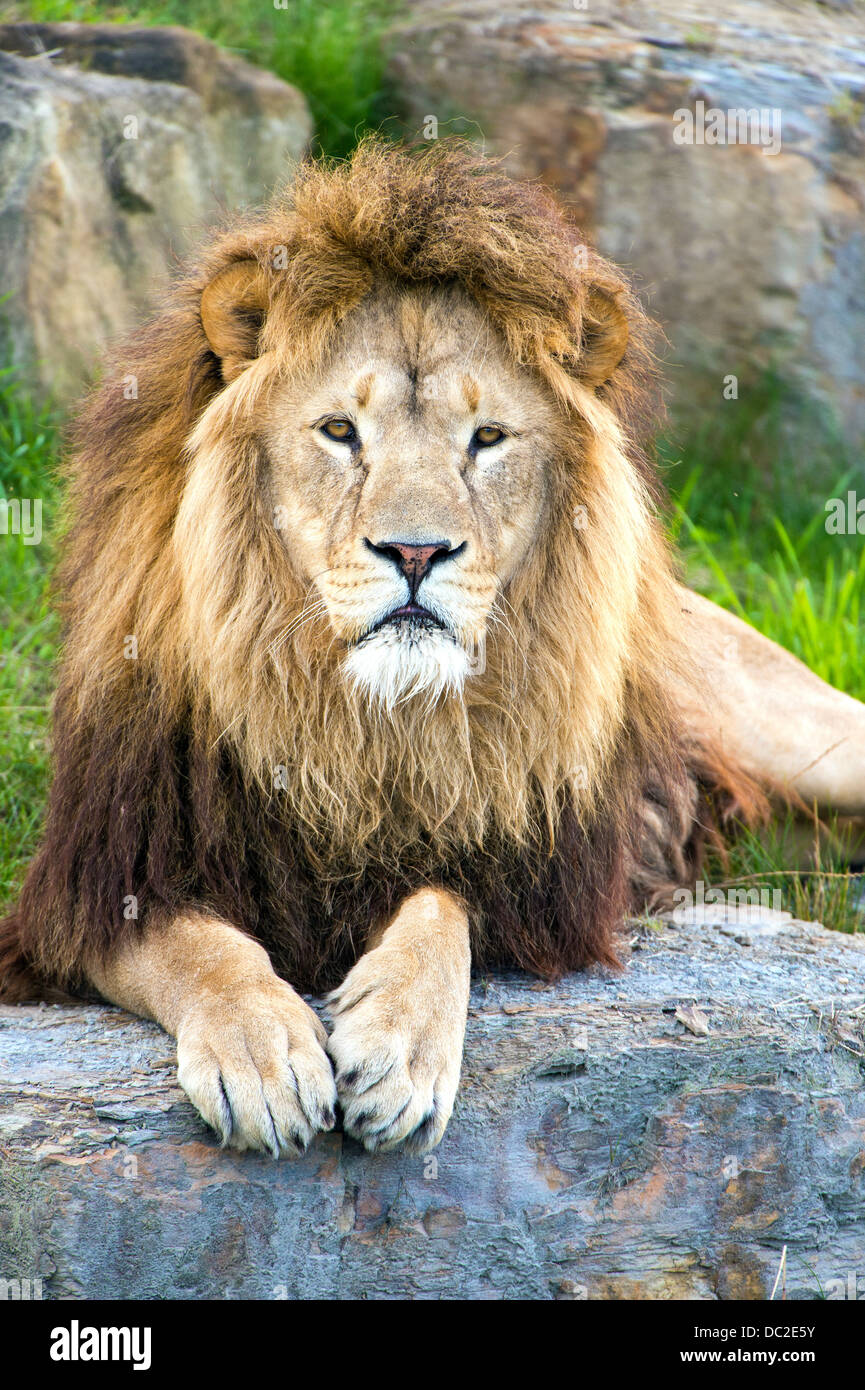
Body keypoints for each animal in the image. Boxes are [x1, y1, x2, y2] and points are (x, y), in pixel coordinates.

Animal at [2, 141, 864, 1158]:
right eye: (339, 431)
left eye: (485, 439)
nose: (415, 553)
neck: (355, 720)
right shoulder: (88, 892)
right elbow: (200, 947)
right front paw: (263, 1054)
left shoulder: (532, 878)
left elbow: (441, 903)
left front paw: (399, 1046)